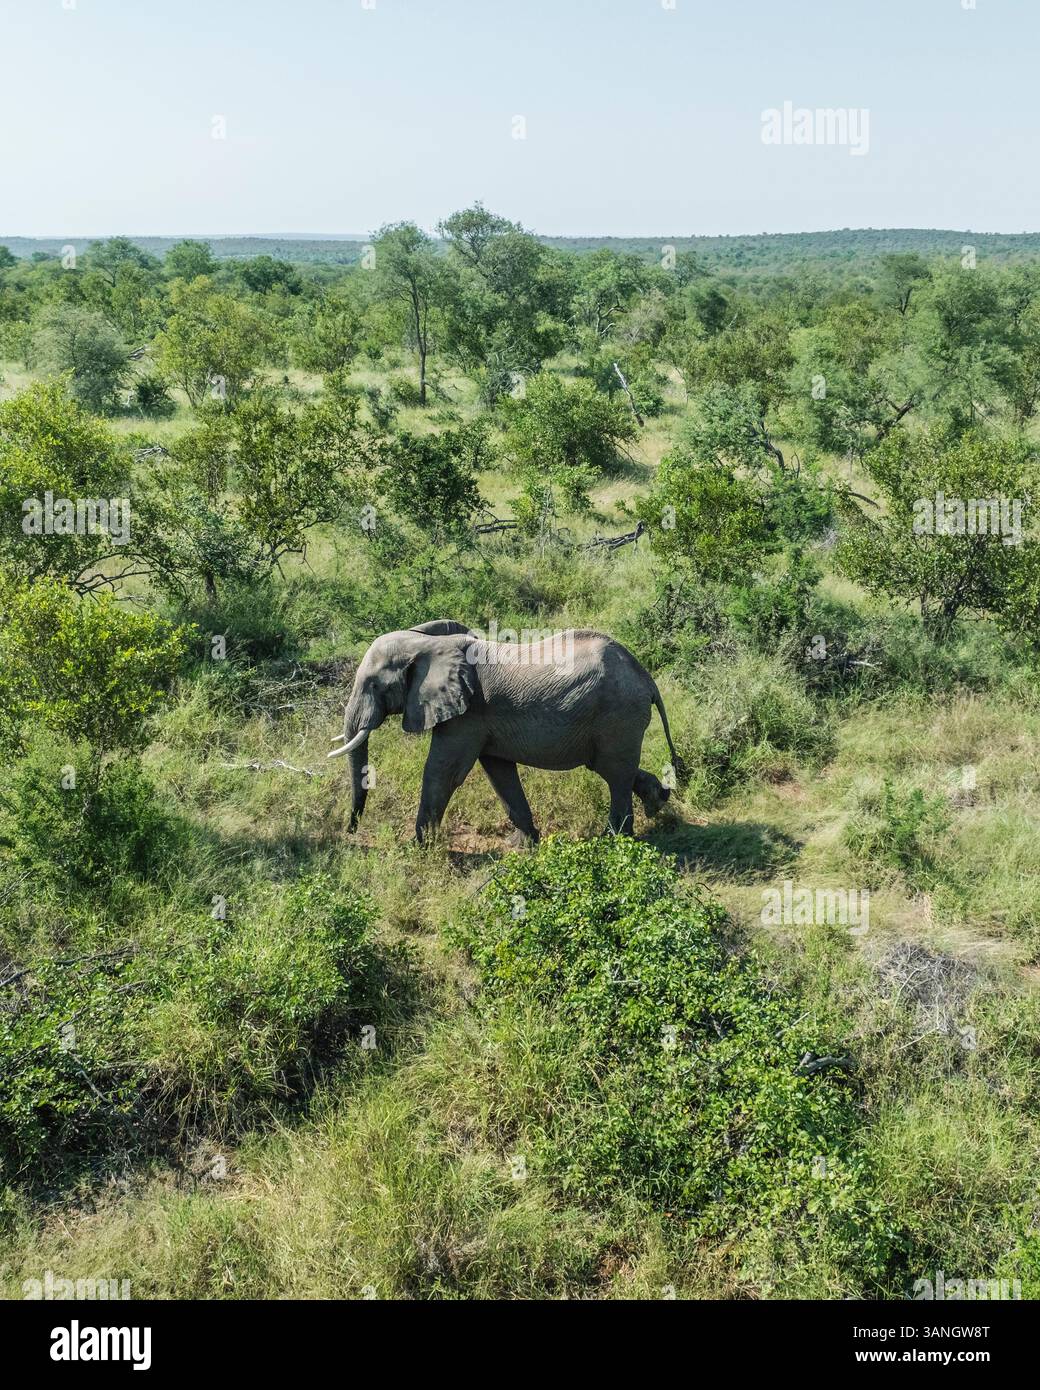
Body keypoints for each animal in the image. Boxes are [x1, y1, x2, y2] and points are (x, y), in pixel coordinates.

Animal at [328, 619, 682, 844]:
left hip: (618, 715)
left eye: (374, 685)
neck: (430, 644)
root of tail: (646, 679)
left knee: (614, 774)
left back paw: (614, 842)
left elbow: (444, 771)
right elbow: (498, 771)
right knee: (617, 768)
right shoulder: (482, 720)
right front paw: (525, 844)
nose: (350, 830)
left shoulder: (467, 714)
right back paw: (657, 801)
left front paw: (419, 847)